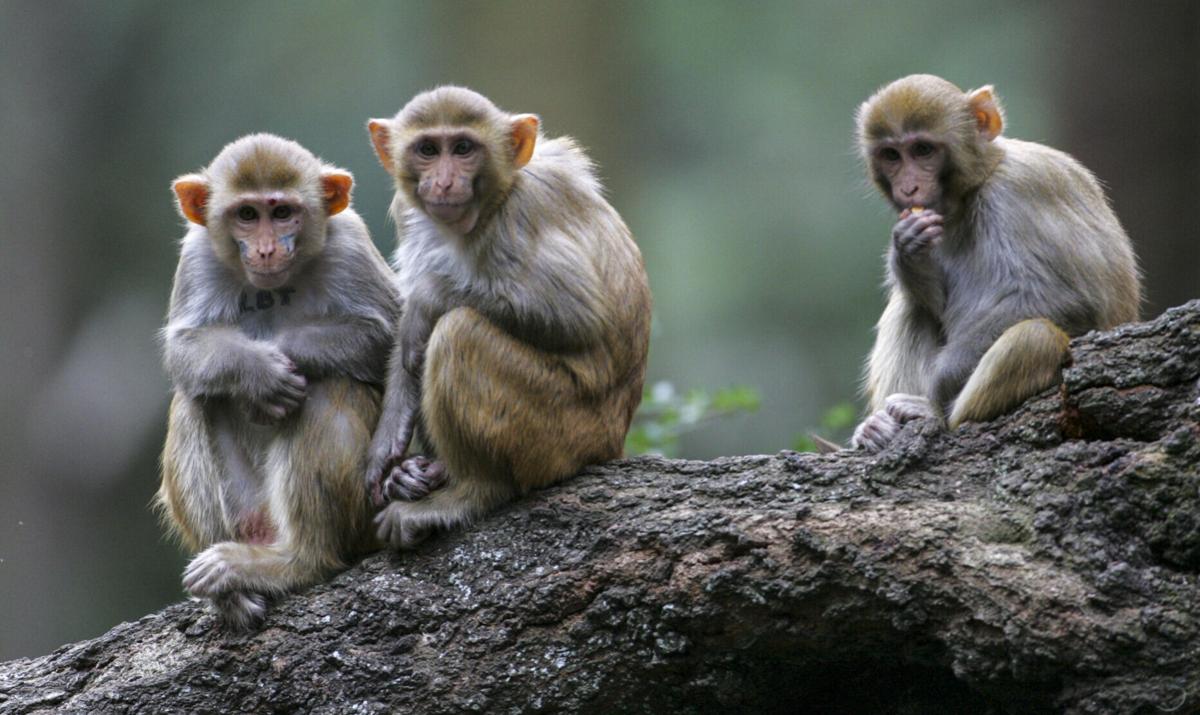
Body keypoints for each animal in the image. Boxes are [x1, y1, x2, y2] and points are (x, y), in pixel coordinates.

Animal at [158, 134, 400, 628]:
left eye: (283, 211)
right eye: (248, 215)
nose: (268, 249)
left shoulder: (350, 246)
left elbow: (384, 335)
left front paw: (278, 360)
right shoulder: (198, 256)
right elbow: (185, 346)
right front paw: (256, 373)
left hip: (362, 514)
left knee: (329, 387)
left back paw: (295, 563)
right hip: (250, 511)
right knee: (194, 398)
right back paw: (231, 593)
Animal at [363, 86, 651, 549]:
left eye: (463, 148)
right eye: (428, 150)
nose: (444, 182)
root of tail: (612, 441)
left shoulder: (522, 214)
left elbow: (575, 315)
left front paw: (426, 301)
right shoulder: (410, 215)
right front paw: (388, 445)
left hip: (560, 432)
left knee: (458, 333)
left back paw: (470, 493)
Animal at [849, 74, 1141, 451]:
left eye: (922, 150)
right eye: (891, 155)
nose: (909, 188)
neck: (978, 184)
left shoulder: (1018, 192)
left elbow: (1068, 299)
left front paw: (936, 390)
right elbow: (934, 305)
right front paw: (907, 252)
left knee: (1036, 336)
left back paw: (936, 414)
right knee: (911, 307)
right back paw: (879, 428)